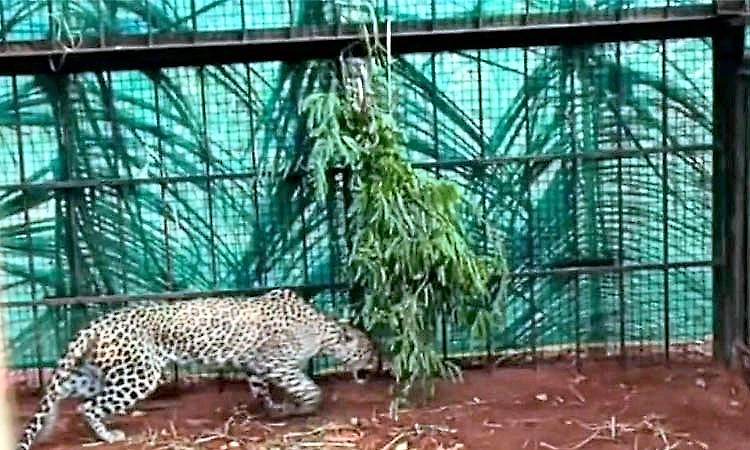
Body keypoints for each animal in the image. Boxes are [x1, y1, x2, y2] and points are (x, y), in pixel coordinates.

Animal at [15, 288, 381, 450]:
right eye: (369, 350)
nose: (378, 364)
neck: (323, 330)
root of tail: (98, 322)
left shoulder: (256, 364)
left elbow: (260, 387)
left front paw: (274, 408)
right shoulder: (278, 363)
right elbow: (308, 387)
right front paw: (304, 407)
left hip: (96, 374)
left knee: (64, 395)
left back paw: (49, 427)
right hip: (139, 374)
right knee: (88, 406)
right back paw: (108, 436)